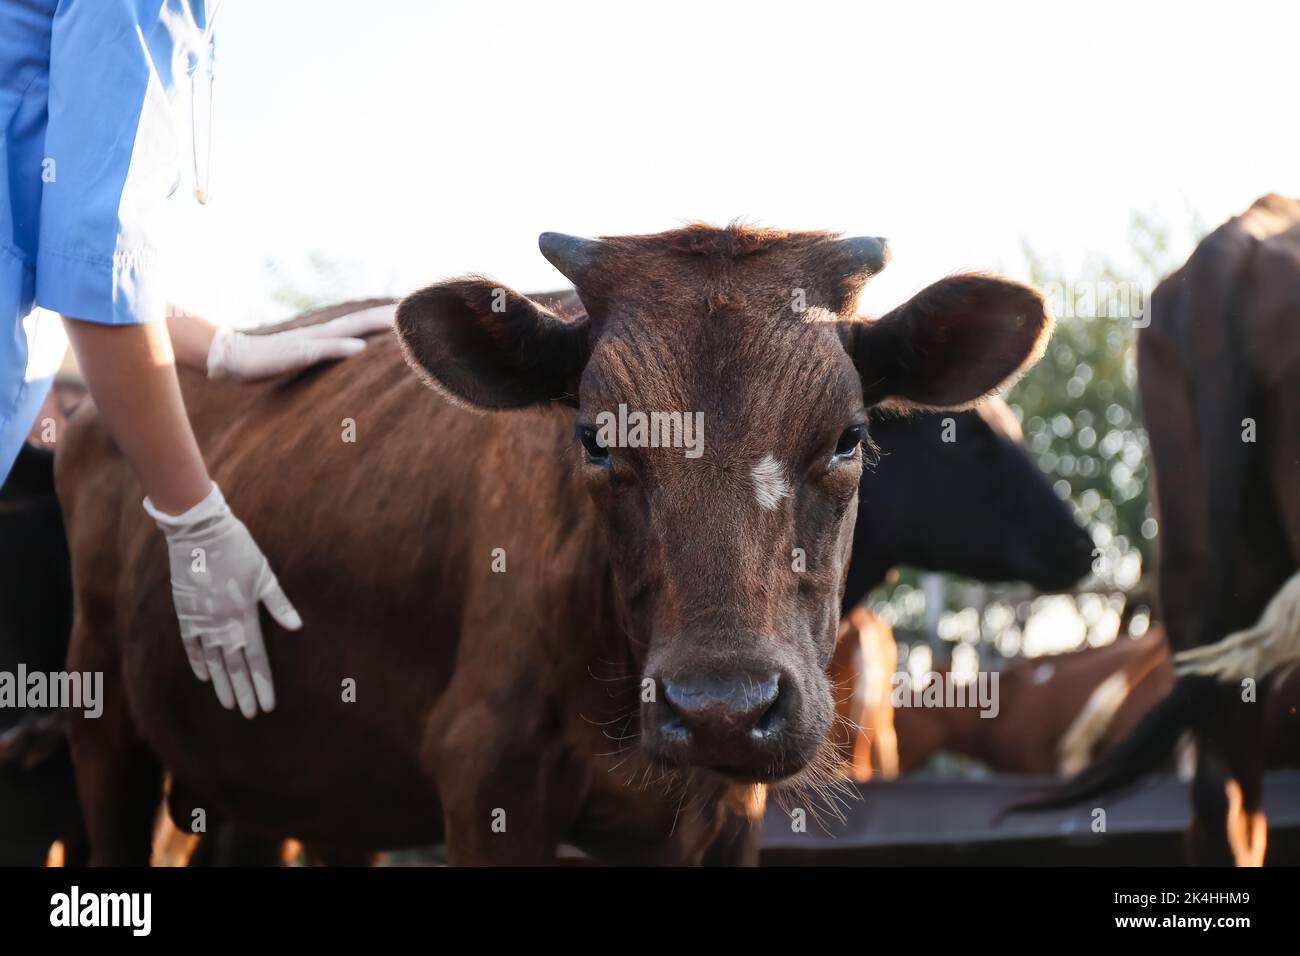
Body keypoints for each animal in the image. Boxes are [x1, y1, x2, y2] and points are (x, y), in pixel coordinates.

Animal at [57, 224, 1054, 865]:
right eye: (595, 438)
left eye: (849, 435)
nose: (721, 708)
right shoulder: (489, 779)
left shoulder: (726, 809)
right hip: (106, 722)